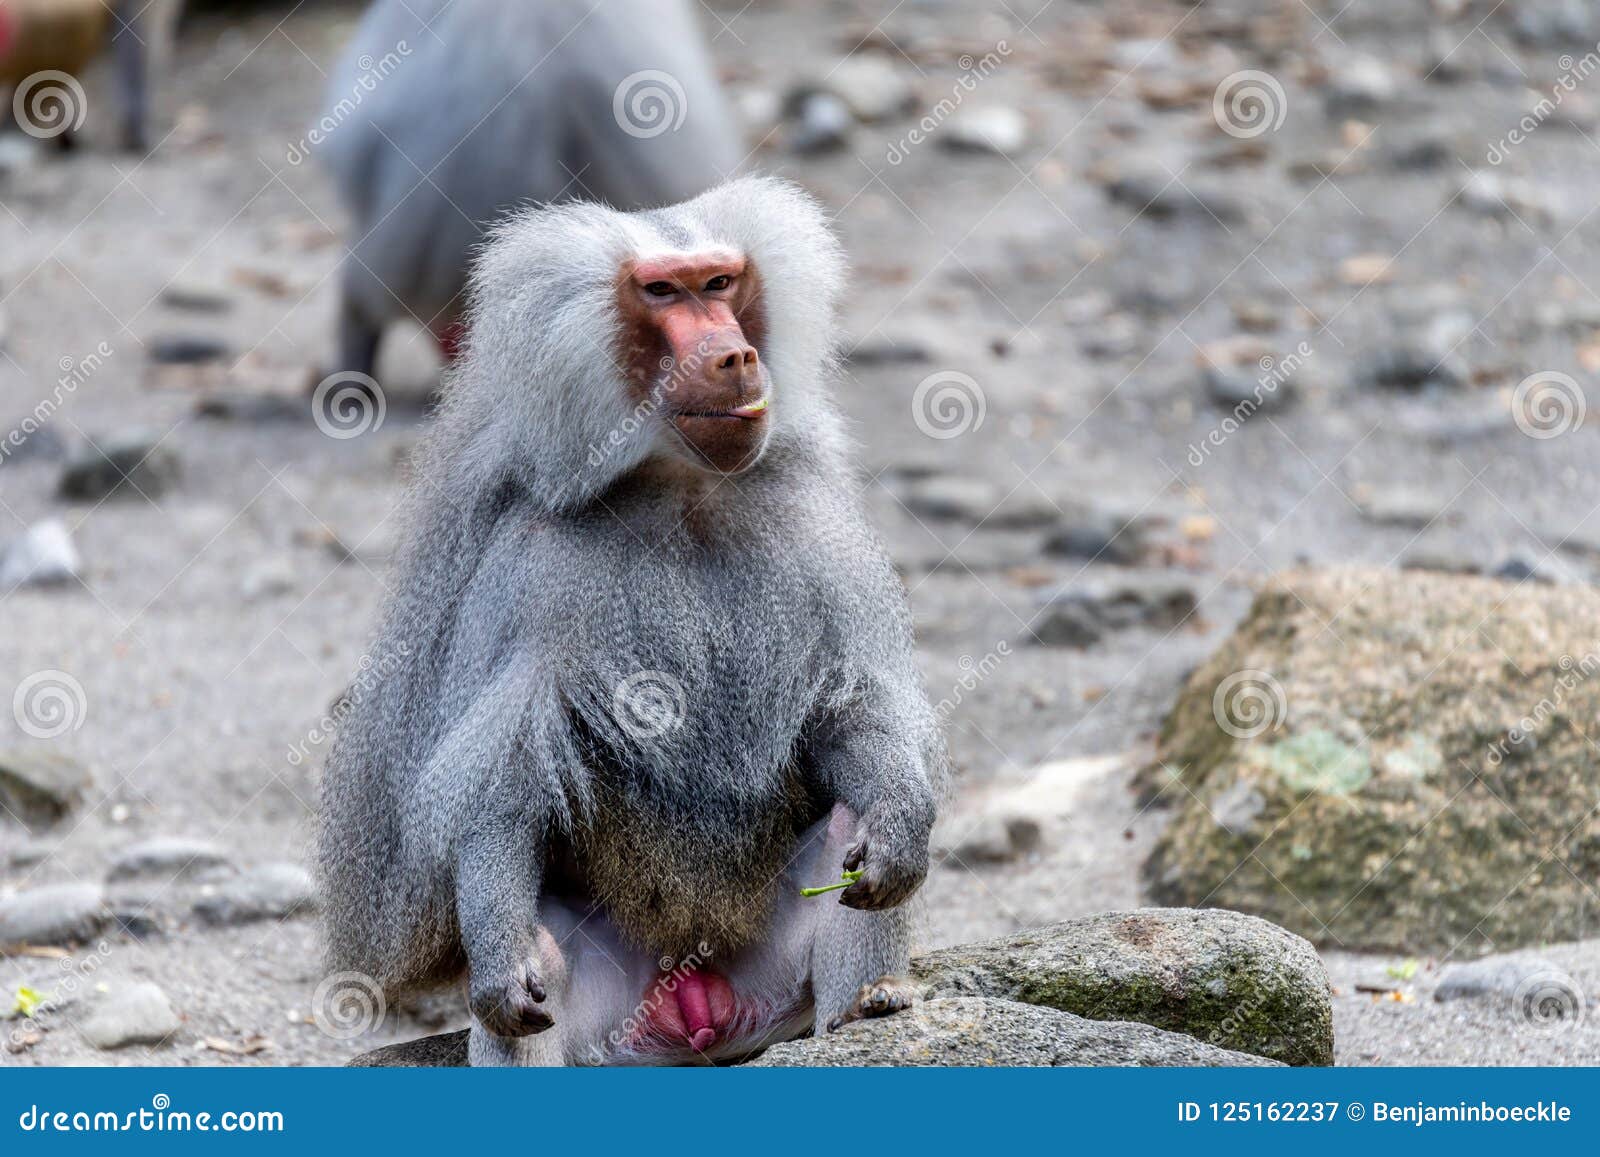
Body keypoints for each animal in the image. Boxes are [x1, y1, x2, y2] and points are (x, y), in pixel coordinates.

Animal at [315, 175, 945, 1066]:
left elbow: (846, 711)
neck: (681, 487)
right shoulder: (530, 567)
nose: (734, 355)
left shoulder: (815, 524)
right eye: (662, 293)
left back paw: (869, 1004)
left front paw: (902, 821)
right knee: (541, 967)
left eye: (720, 283)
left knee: (845, 849)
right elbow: (497, 774)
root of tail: (697, 1012)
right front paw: (498, 947)